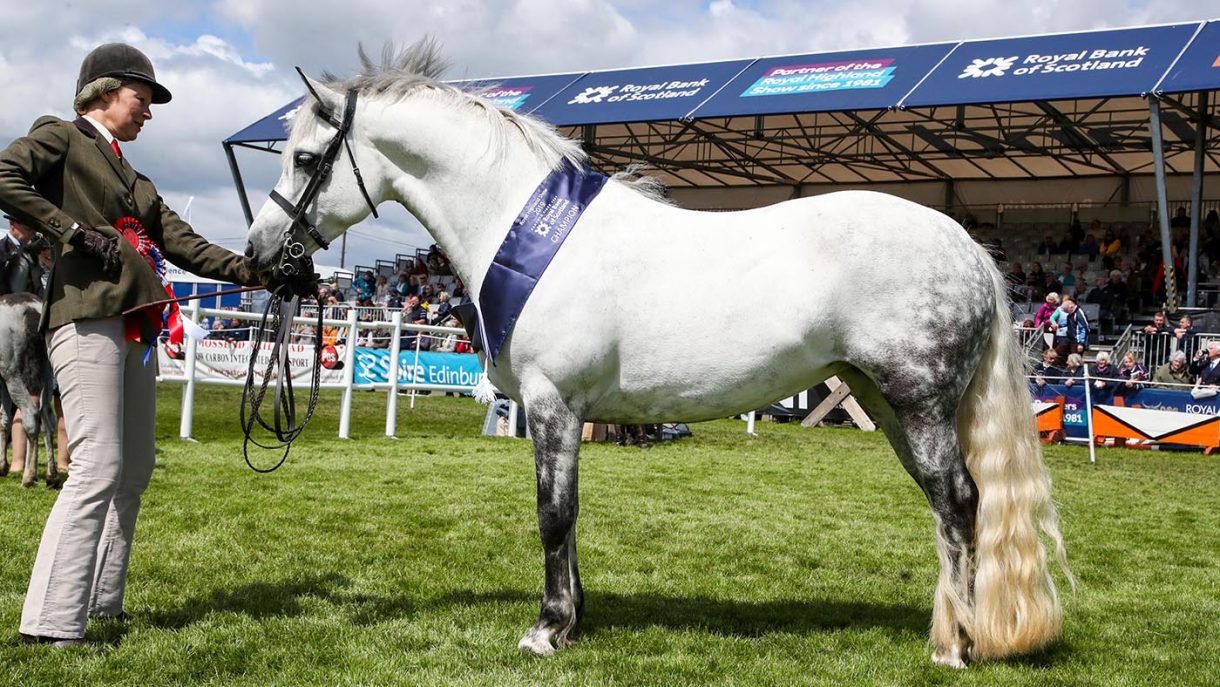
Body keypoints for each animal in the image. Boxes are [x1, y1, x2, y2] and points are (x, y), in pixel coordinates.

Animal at [242, 43, 1071, 667]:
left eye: (307, 157)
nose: (259, 252)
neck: (523, 225)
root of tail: (966, 244)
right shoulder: (568, 412)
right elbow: (571, 514)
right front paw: (575, 618)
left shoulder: (551, 402)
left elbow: (553, 512)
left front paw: (546, 628)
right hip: (885, 400)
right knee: (948, 504)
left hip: (919, 401)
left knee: (958, 500)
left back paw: (956, 646)